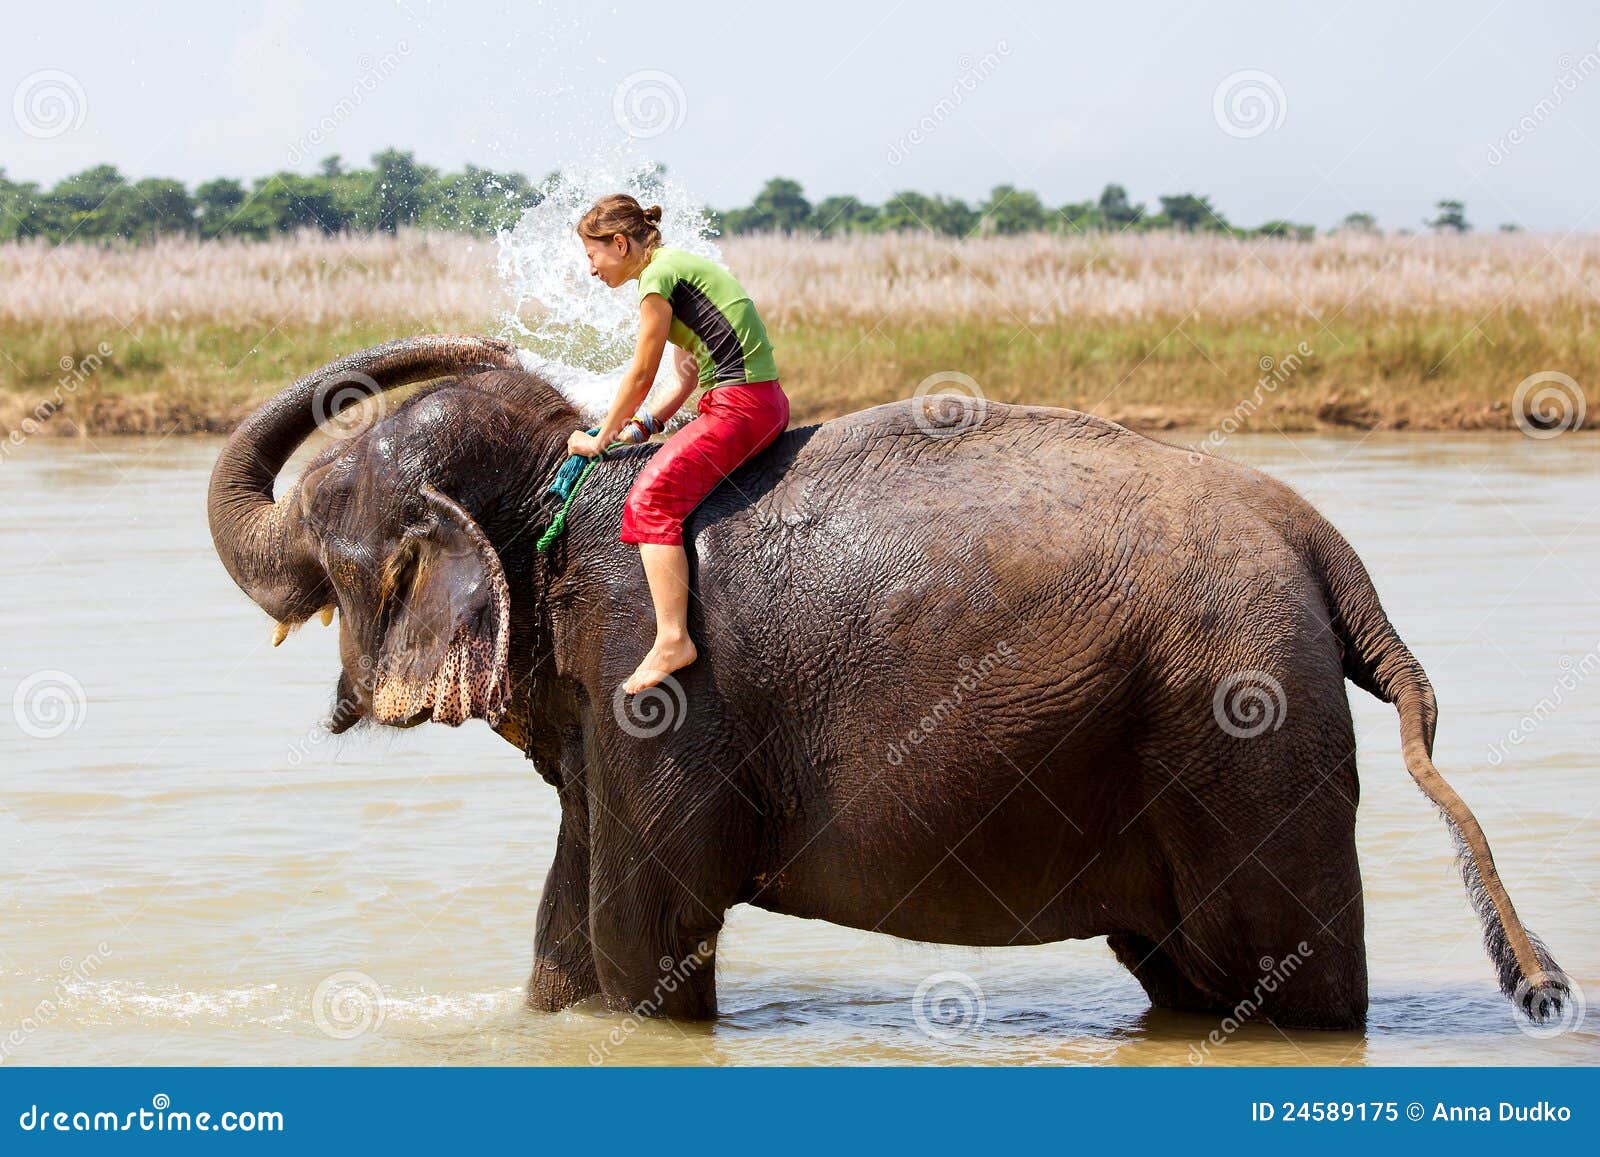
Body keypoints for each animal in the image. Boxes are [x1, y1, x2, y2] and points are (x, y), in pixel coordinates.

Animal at [207, 334, 1569, 1029]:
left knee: (1286, 972)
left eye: (322, 520)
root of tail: (1328, 552)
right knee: (1190, 975)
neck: (564, 471)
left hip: (1244, 721)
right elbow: (570, 929)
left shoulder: (654, 682)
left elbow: (647, 926)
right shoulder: (598, 701)